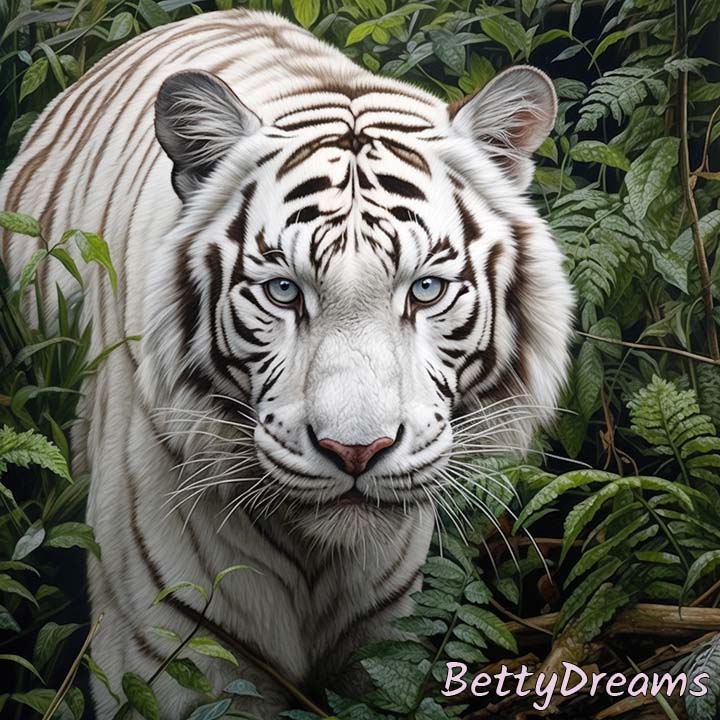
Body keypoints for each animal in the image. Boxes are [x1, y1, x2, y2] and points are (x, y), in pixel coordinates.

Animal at [0, 8, 573, 718]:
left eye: (424, 290)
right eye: (283, 291)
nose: (356, 452)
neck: (321, 557)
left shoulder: (386, 647)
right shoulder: (170, 660)